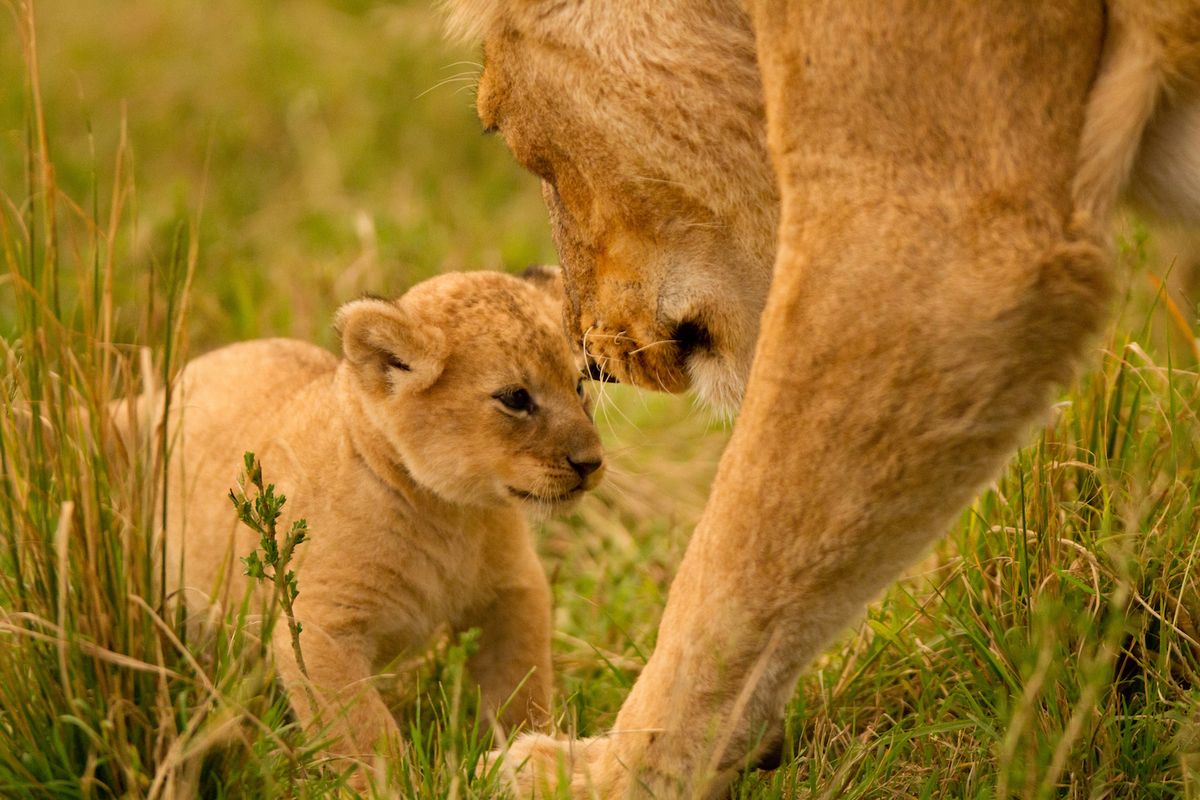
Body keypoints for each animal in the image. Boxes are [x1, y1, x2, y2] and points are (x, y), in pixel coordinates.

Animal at [156, 268, 603, 772]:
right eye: (515, 397)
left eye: (579, 385)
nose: (591, 463)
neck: (449, 515)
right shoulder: (320, 625)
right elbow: (363, 730)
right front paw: (395, 780)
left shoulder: (514, 588)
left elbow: (521, 683)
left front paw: (528, 752)